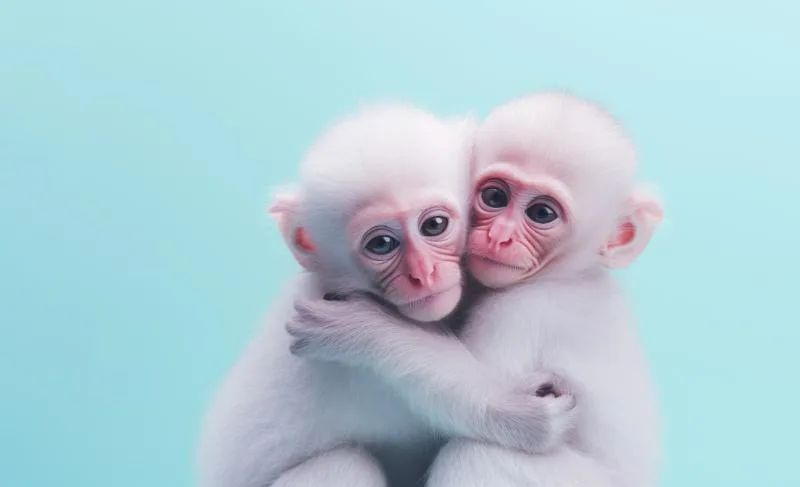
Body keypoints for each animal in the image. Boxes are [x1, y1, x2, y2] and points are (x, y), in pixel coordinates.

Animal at [286, 92, 663, 487]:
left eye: (542, 213)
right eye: (495, 197)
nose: (499, 237)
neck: (570, 273)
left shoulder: (521, 310)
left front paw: (361, 331)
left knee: (478, 453)